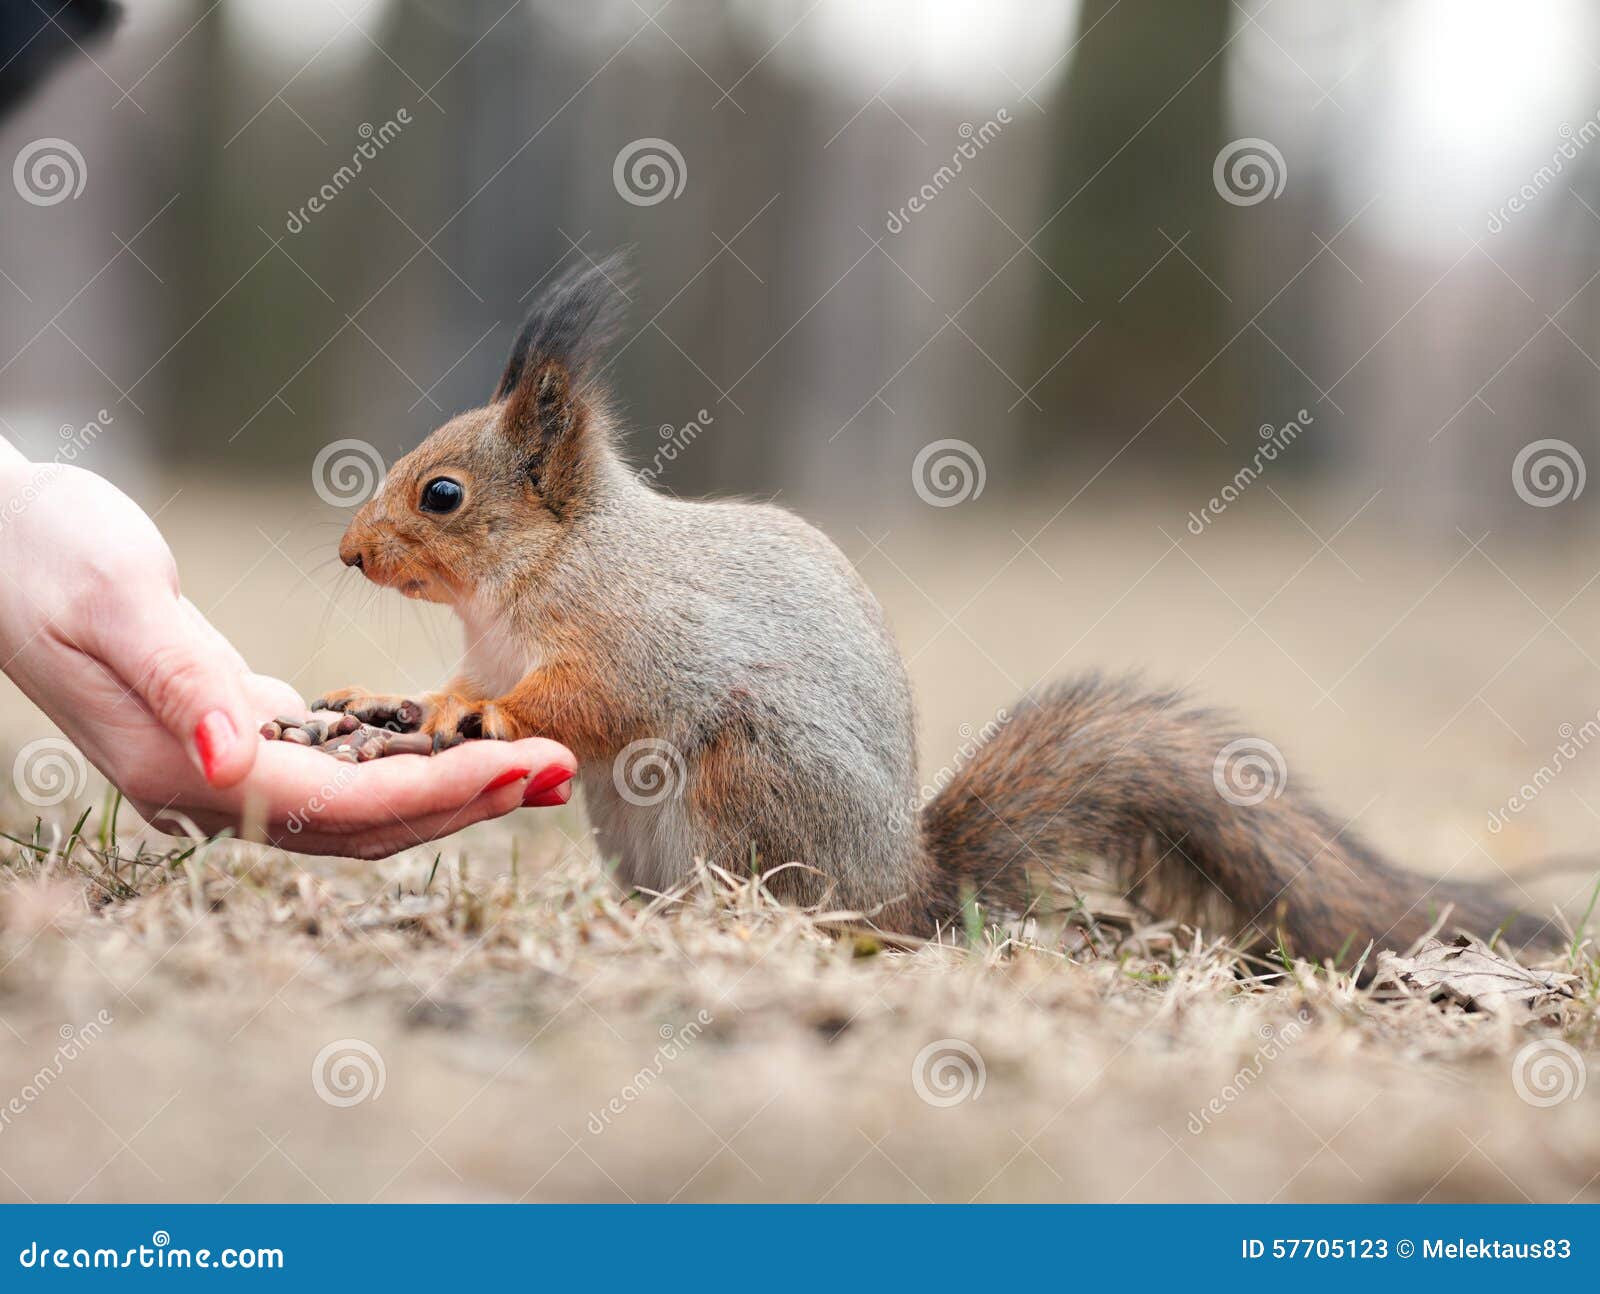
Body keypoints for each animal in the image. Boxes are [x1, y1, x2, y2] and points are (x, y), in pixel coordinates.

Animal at [315, 254, 1557, 966]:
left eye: (441, 494)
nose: (348, 552)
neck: (539, 572)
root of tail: (903, 882)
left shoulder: (641, 637)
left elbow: (583, 698)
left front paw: (483, 721)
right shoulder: (492, 645)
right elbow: (455, 683)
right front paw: (398, 702)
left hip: (749, 774)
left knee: (798, 903)